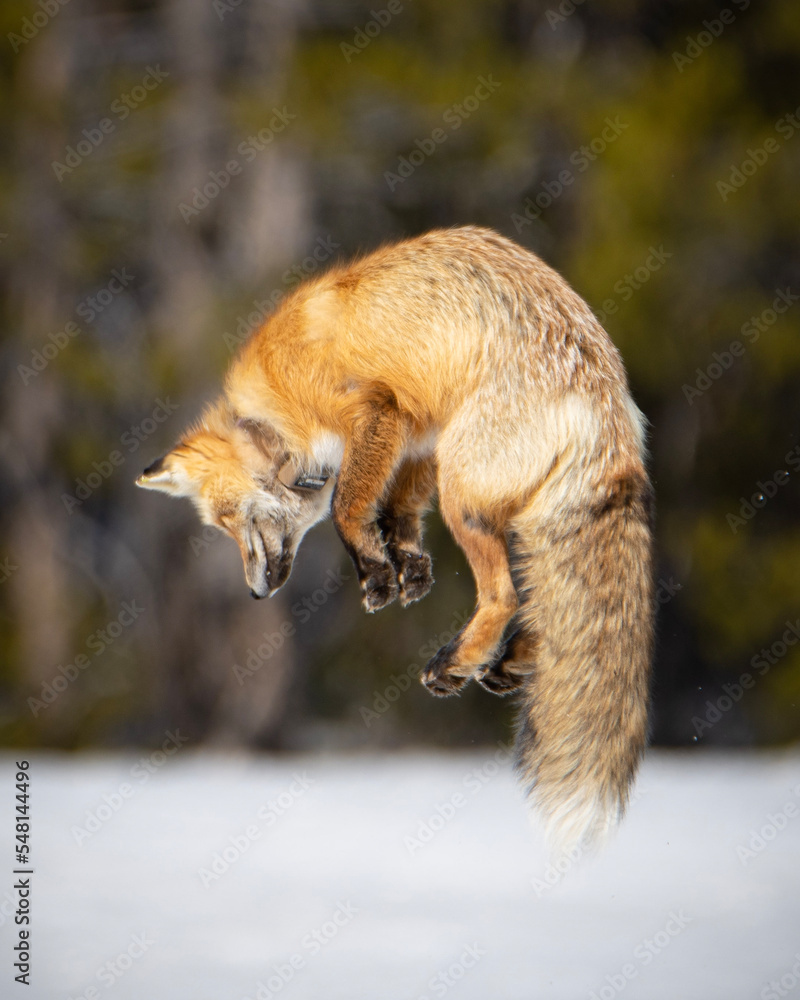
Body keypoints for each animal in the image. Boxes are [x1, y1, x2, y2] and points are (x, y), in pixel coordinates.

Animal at [136, 226, 653, 854]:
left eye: (231, 520)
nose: (256, 593)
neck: (276, 411)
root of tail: (604, 394)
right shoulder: (418, 429)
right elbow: (400, 509)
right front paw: (406, 565)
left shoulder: (373, 409)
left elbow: (345, 506)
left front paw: (374, 571)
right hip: (499, 498)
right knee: (548, 606)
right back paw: (510, 659)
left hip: (464, 493)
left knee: (505, 596)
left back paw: (456, 662)